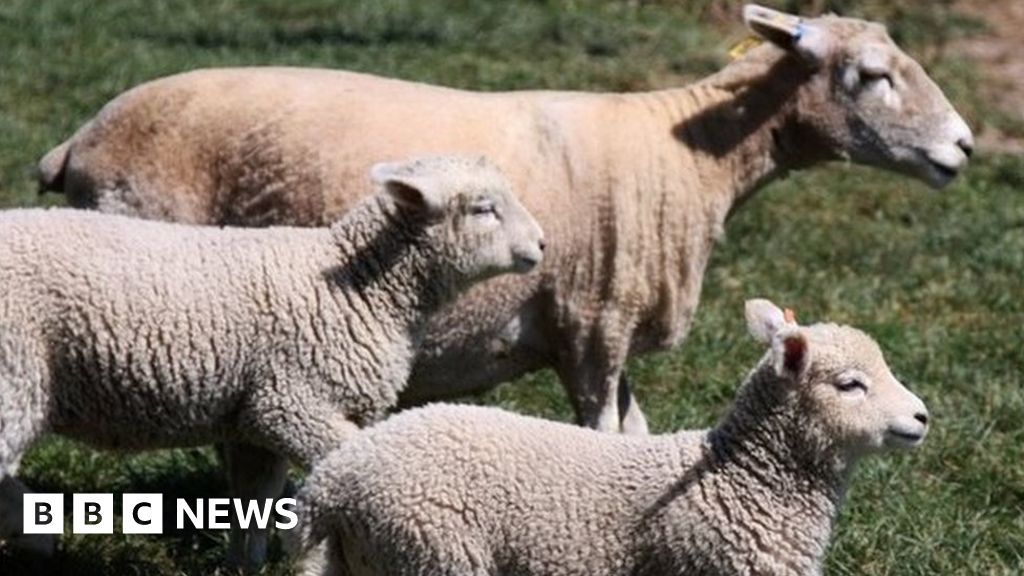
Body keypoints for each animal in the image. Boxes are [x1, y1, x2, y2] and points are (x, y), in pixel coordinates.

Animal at [0, 155, 544, 570]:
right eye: (483, 209)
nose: (542, 245)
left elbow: (254, 501)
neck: (359, 287)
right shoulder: (291, 402)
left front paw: (246, 565)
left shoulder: (250, 420)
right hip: (14, 375)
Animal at [37, 5, 973, 435]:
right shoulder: (594, 325)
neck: (689, 156)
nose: (963, 146)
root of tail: (79, 141)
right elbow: (602, 436)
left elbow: (633, 433)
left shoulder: (603, 333)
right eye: (871, 76)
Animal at [287, 298, 930, 576]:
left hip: (361, 560)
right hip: (430, 550)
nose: (922, 417)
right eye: (850, 385)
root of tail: (332, 483)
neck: (740, 477)